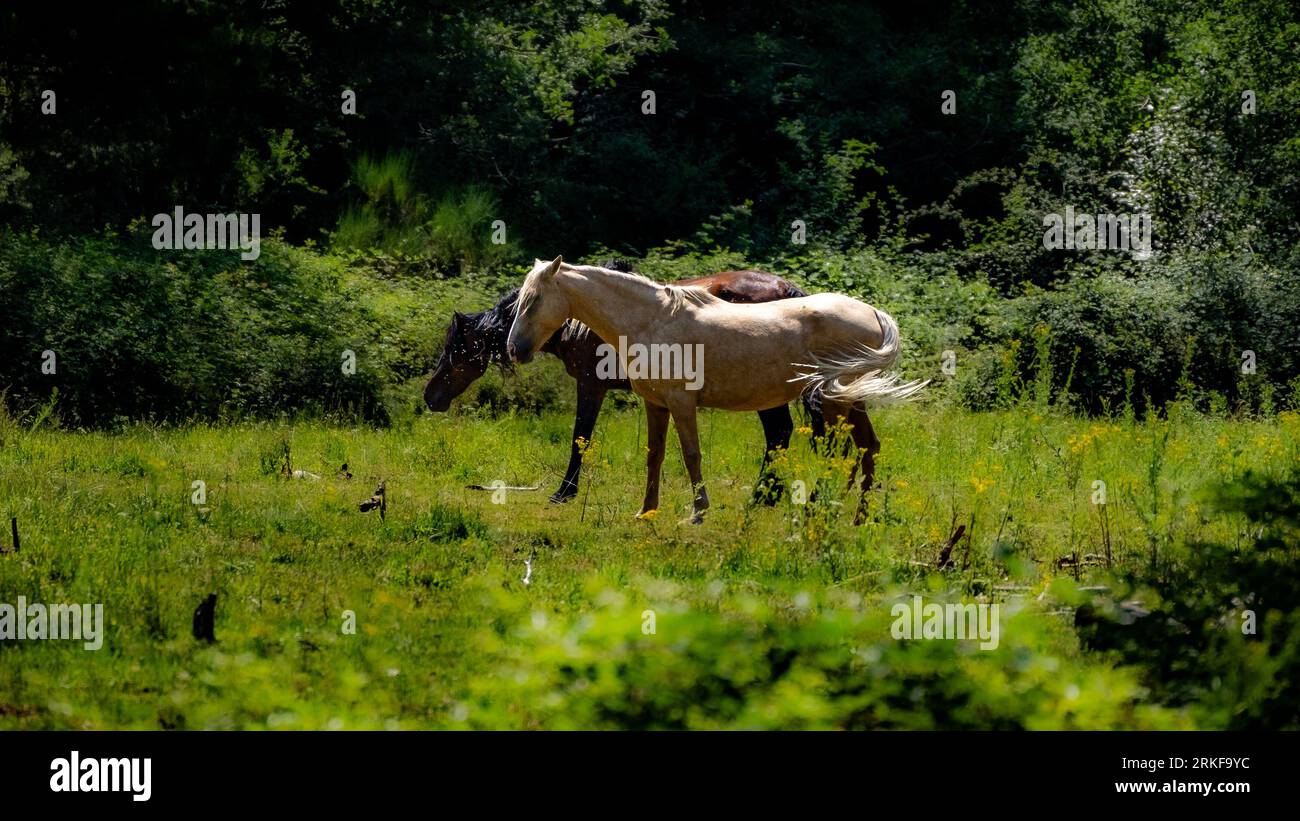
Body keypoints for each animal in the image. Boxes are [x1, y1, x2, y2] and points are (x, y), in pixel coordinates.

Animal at [425, 263, 825, 505]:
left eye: (456, 349)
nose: (431, 397)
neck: (579, 320)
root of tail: (788, 289)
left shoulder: (590, 386)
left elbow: (580, 437)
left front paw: (564, 492)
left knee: (780, 432)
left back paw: (763, 495)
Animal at [507, 257, 925, 523]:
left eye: (534, 299)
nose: (514, 349)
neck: (652, 320)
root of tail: (874, 313)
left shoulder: (681, 402)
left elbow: (691, 454)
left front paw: (697, 512)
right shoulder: (655, 404)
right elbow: (654, 456)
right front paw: (646, 511)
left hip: (834, 400)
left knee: (838, 452)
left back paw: (817, 509)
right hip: (851, 399)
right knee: (867, 448)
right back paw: (857, 517)